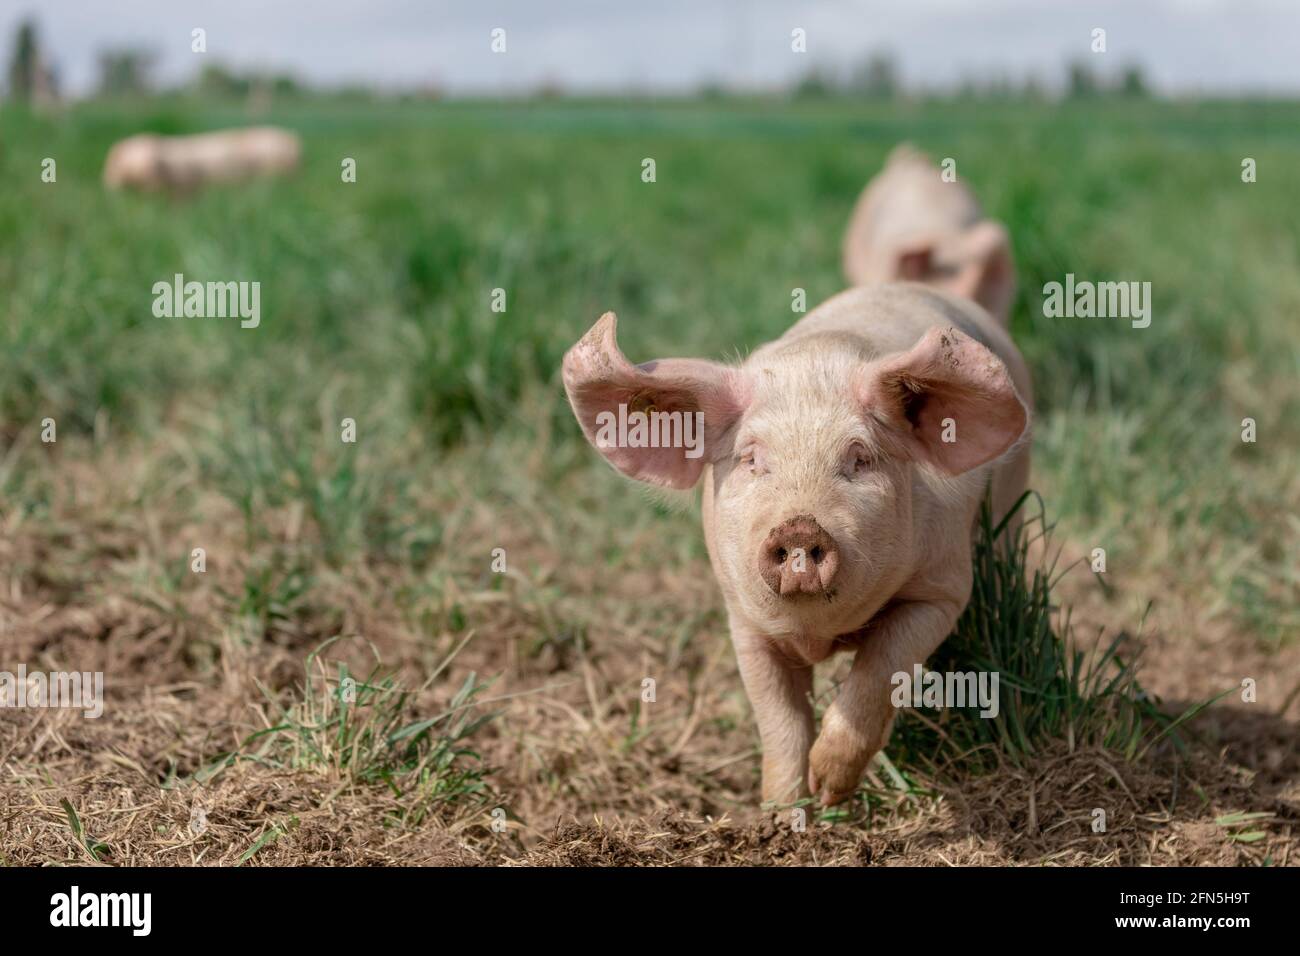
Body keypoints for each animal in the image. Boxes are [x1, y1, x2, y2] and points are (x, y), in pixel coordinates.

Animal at [562, 282, 1032, 806]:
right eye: (750, 458)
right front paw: (784, 809)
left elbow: (879, 671)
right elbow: (780, 719)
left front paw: (828, 790)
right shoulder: (743, 619)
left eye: (860, 458)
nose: (800, 529)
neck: (817, 635)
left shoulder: (940, 591)